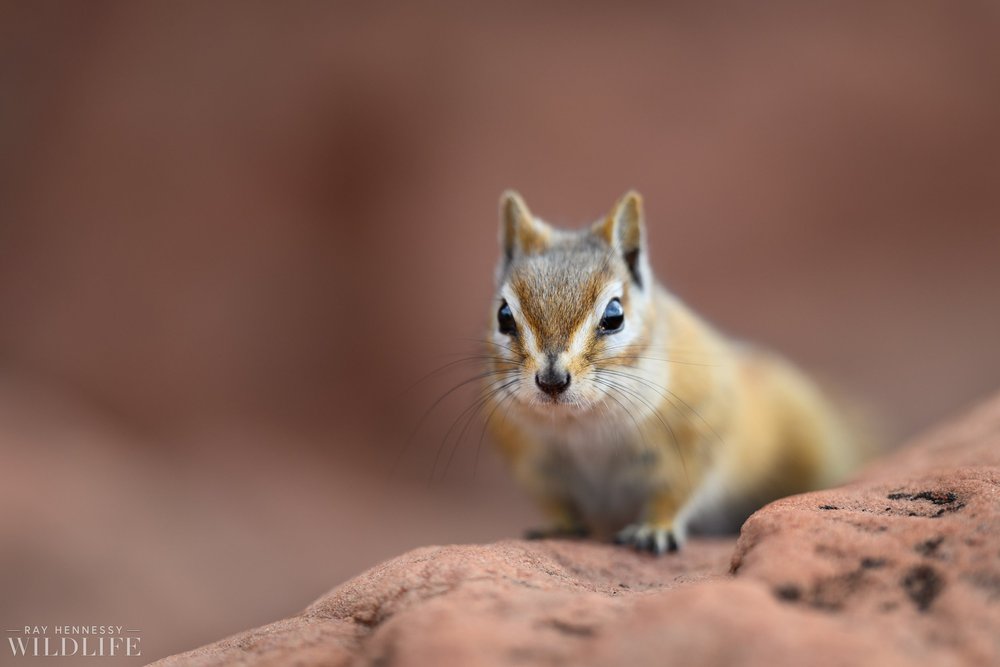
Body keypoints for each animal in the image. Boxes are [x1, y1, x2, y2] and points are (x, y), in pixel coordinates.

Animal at [484, 190, 869, 555]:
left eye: (614, 316)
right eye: (504, 315)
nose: (552, 381)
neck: (584, 426)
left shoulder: (694, 437)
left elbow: (674, 493)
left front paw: (656, 529)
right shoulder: (532, 461)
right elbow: (555, 501)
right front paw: (559, 525)